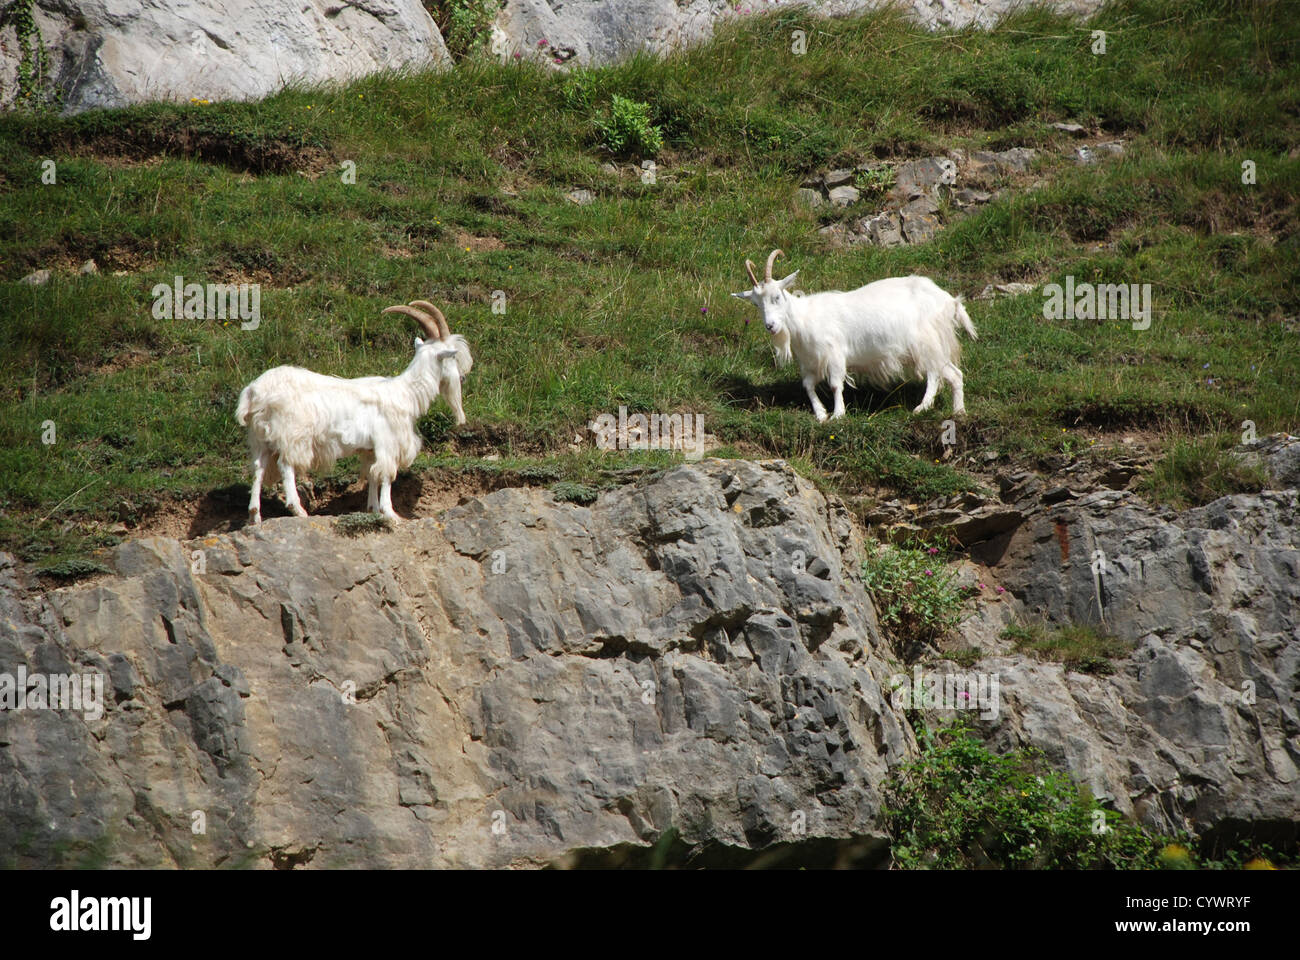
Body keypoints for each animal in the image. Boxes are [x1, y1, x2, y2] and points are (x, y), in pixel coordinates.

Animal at [235, 300, 473, 524]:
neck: (406, 392)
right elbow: (386, 475)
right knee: (286, 464)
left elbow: (372, 476)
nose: (462, 378)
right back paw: (298, 509)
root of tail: (254, 392)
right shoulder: (388, 443)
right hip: (291, 433)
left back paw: (254, 516)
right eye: (452, 356)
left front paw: (373, 509)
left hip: (260, 437)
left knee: (258, 468)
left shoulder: (370, 449)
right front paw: (390, 513)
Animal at [731, 249, 976, 421]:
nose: (770, 326)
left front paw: (838, 414)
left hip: (926, 341)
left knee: (936, 373)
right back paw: (959, 411)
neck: (805, 318)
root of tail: (949, 300)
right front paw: (821, 414)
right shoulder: (810, 362)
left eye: (777, 297)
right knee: (954, 374)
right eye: (756, 304)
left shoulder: (834, 354)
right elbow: (808, 386)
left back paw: (922, 408)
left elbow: (835, 384)